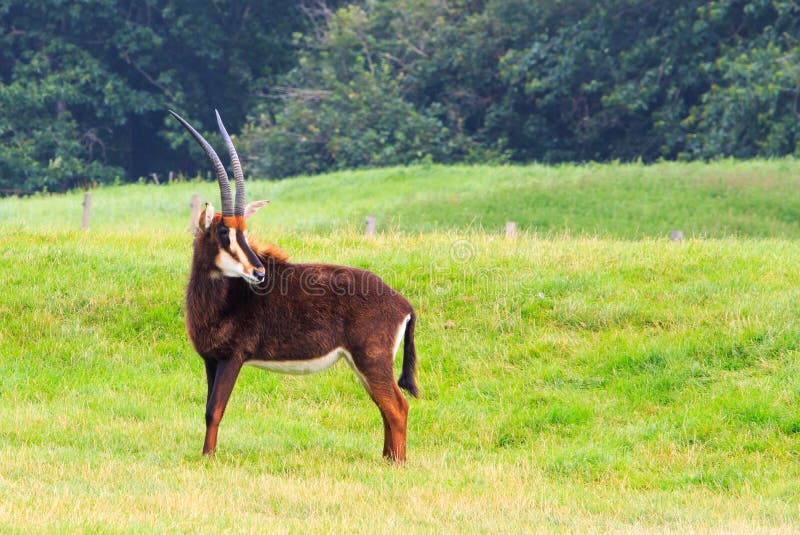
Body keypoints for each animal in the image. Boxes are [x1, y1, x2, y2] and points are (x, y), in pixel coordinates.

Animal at [170, 109, 419, 463]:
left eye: (243, 232)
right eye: (224, 232)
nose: (258, 272)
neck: (223, 300)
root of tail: (403, 305)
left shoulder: (233, 357)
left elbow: (214, 410)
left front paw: (208, 459)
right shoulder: (210, 360)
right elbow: (207, 408)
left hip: (371, 360)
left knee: (397, 407)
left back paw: (396, 464)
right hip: (362, 364)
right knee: (386, 408)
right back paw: (386, 459)